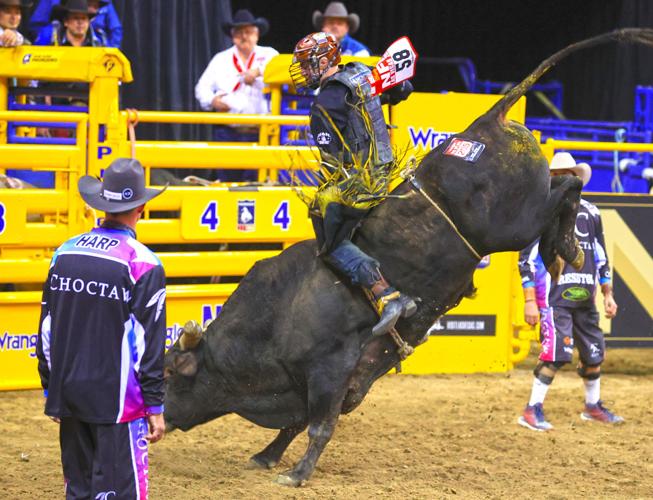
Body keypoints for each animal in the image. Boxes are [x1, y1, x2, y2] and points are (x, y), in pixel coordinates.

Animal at [163, 29, 653, 486]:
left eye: (167, 376)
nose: (155, 422)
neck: (275, 316)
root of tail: (486, 121)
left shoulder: (330, 369)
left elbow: (318, 425)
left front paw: (296, 474)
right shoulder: (332, 380)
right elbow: (297, 422)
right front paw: (267, 456)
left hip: (513, 223)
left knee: (569, 183)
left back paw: (562, 248)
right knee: (565, 181)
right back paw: (560, 251)